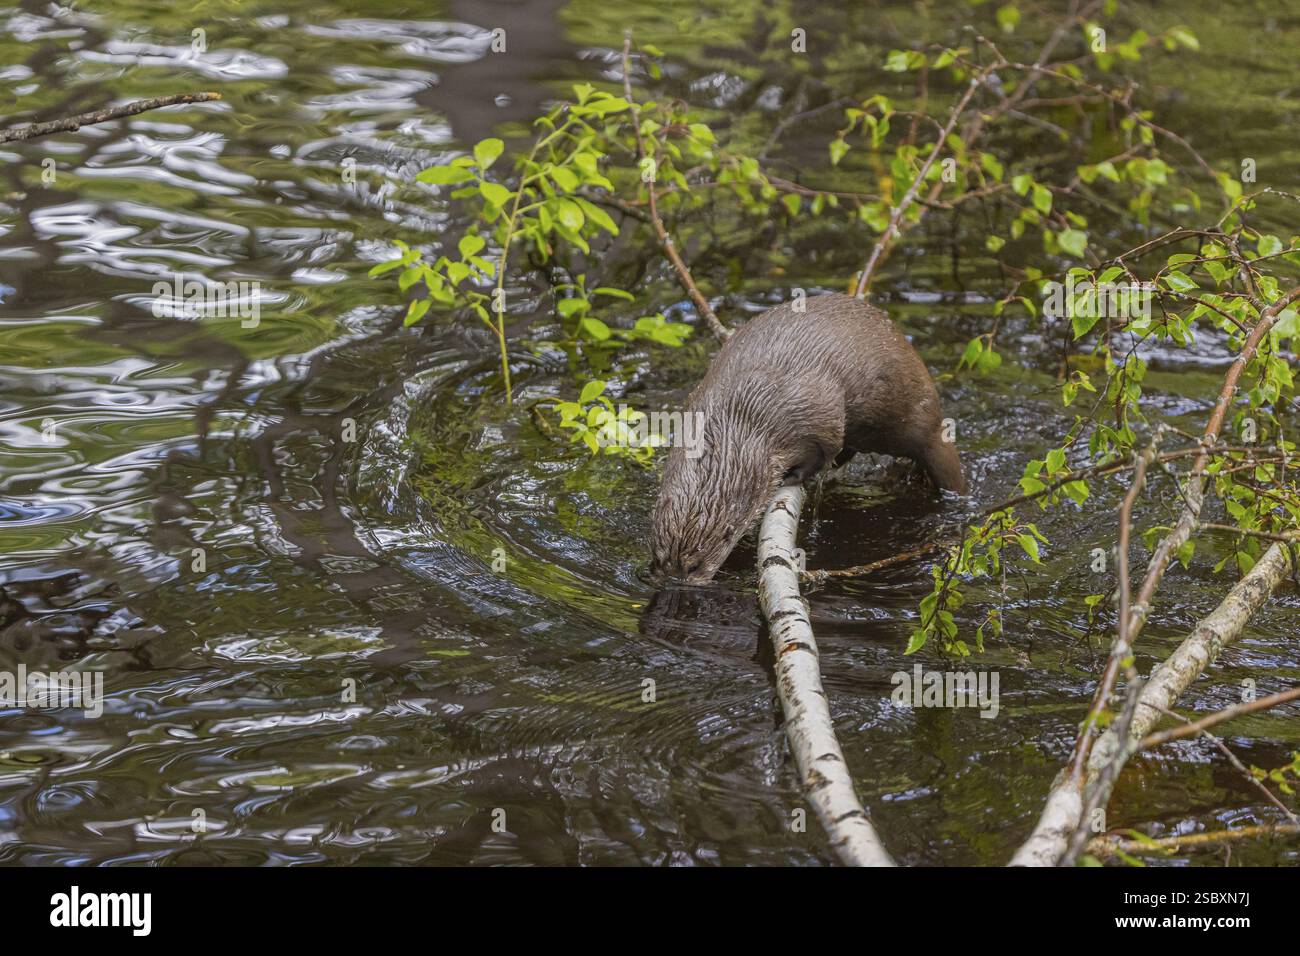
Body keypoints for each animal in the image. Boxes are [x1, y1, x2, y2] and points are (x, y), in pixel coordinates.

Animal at [649, 293, 966, 584]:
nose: (673, 583)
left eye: (694, 566)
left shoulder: (818, 415)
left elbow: (824, 450)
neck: (744, 408)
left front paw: (793, 476)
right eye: (659, 557)